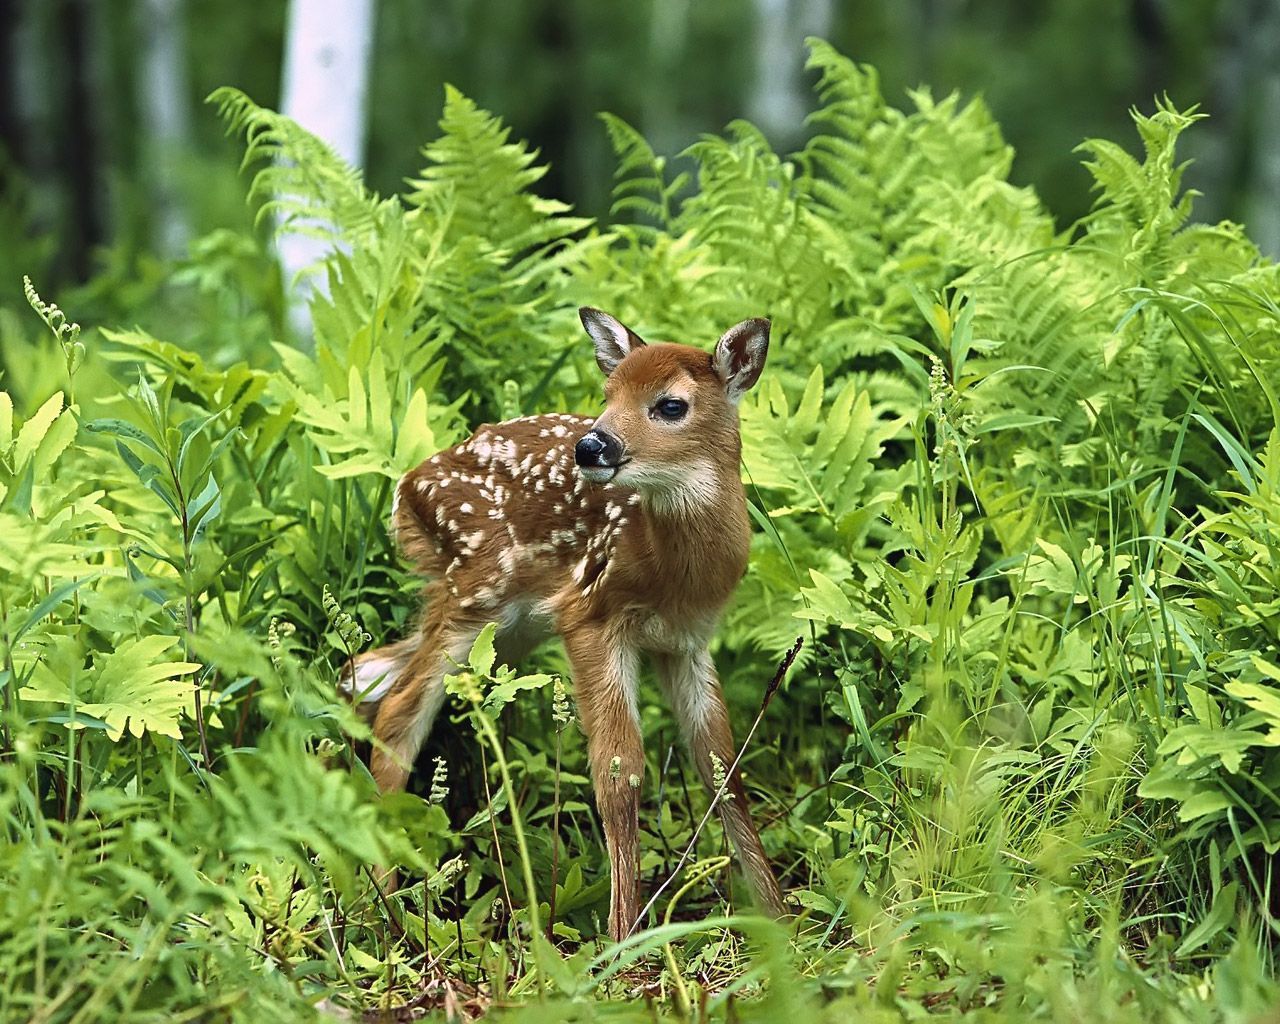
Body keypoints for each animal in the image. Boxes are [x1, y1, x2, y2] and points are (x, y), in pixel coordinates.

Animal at [343, 308, 787, 940]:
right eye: (608, 394)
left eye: (670, 405)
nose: (592, 445)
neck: (669, 572)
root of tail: (405, 489)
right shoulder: (590, 615)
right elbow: (619, 772)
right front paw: (624, 936)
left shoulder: (687, 641)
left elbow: (722, 766)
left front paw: (781, 918)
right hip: (475, 590)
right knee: (401, 707)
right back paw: (384, 903)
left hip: (507, 625)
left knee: (367, 671)